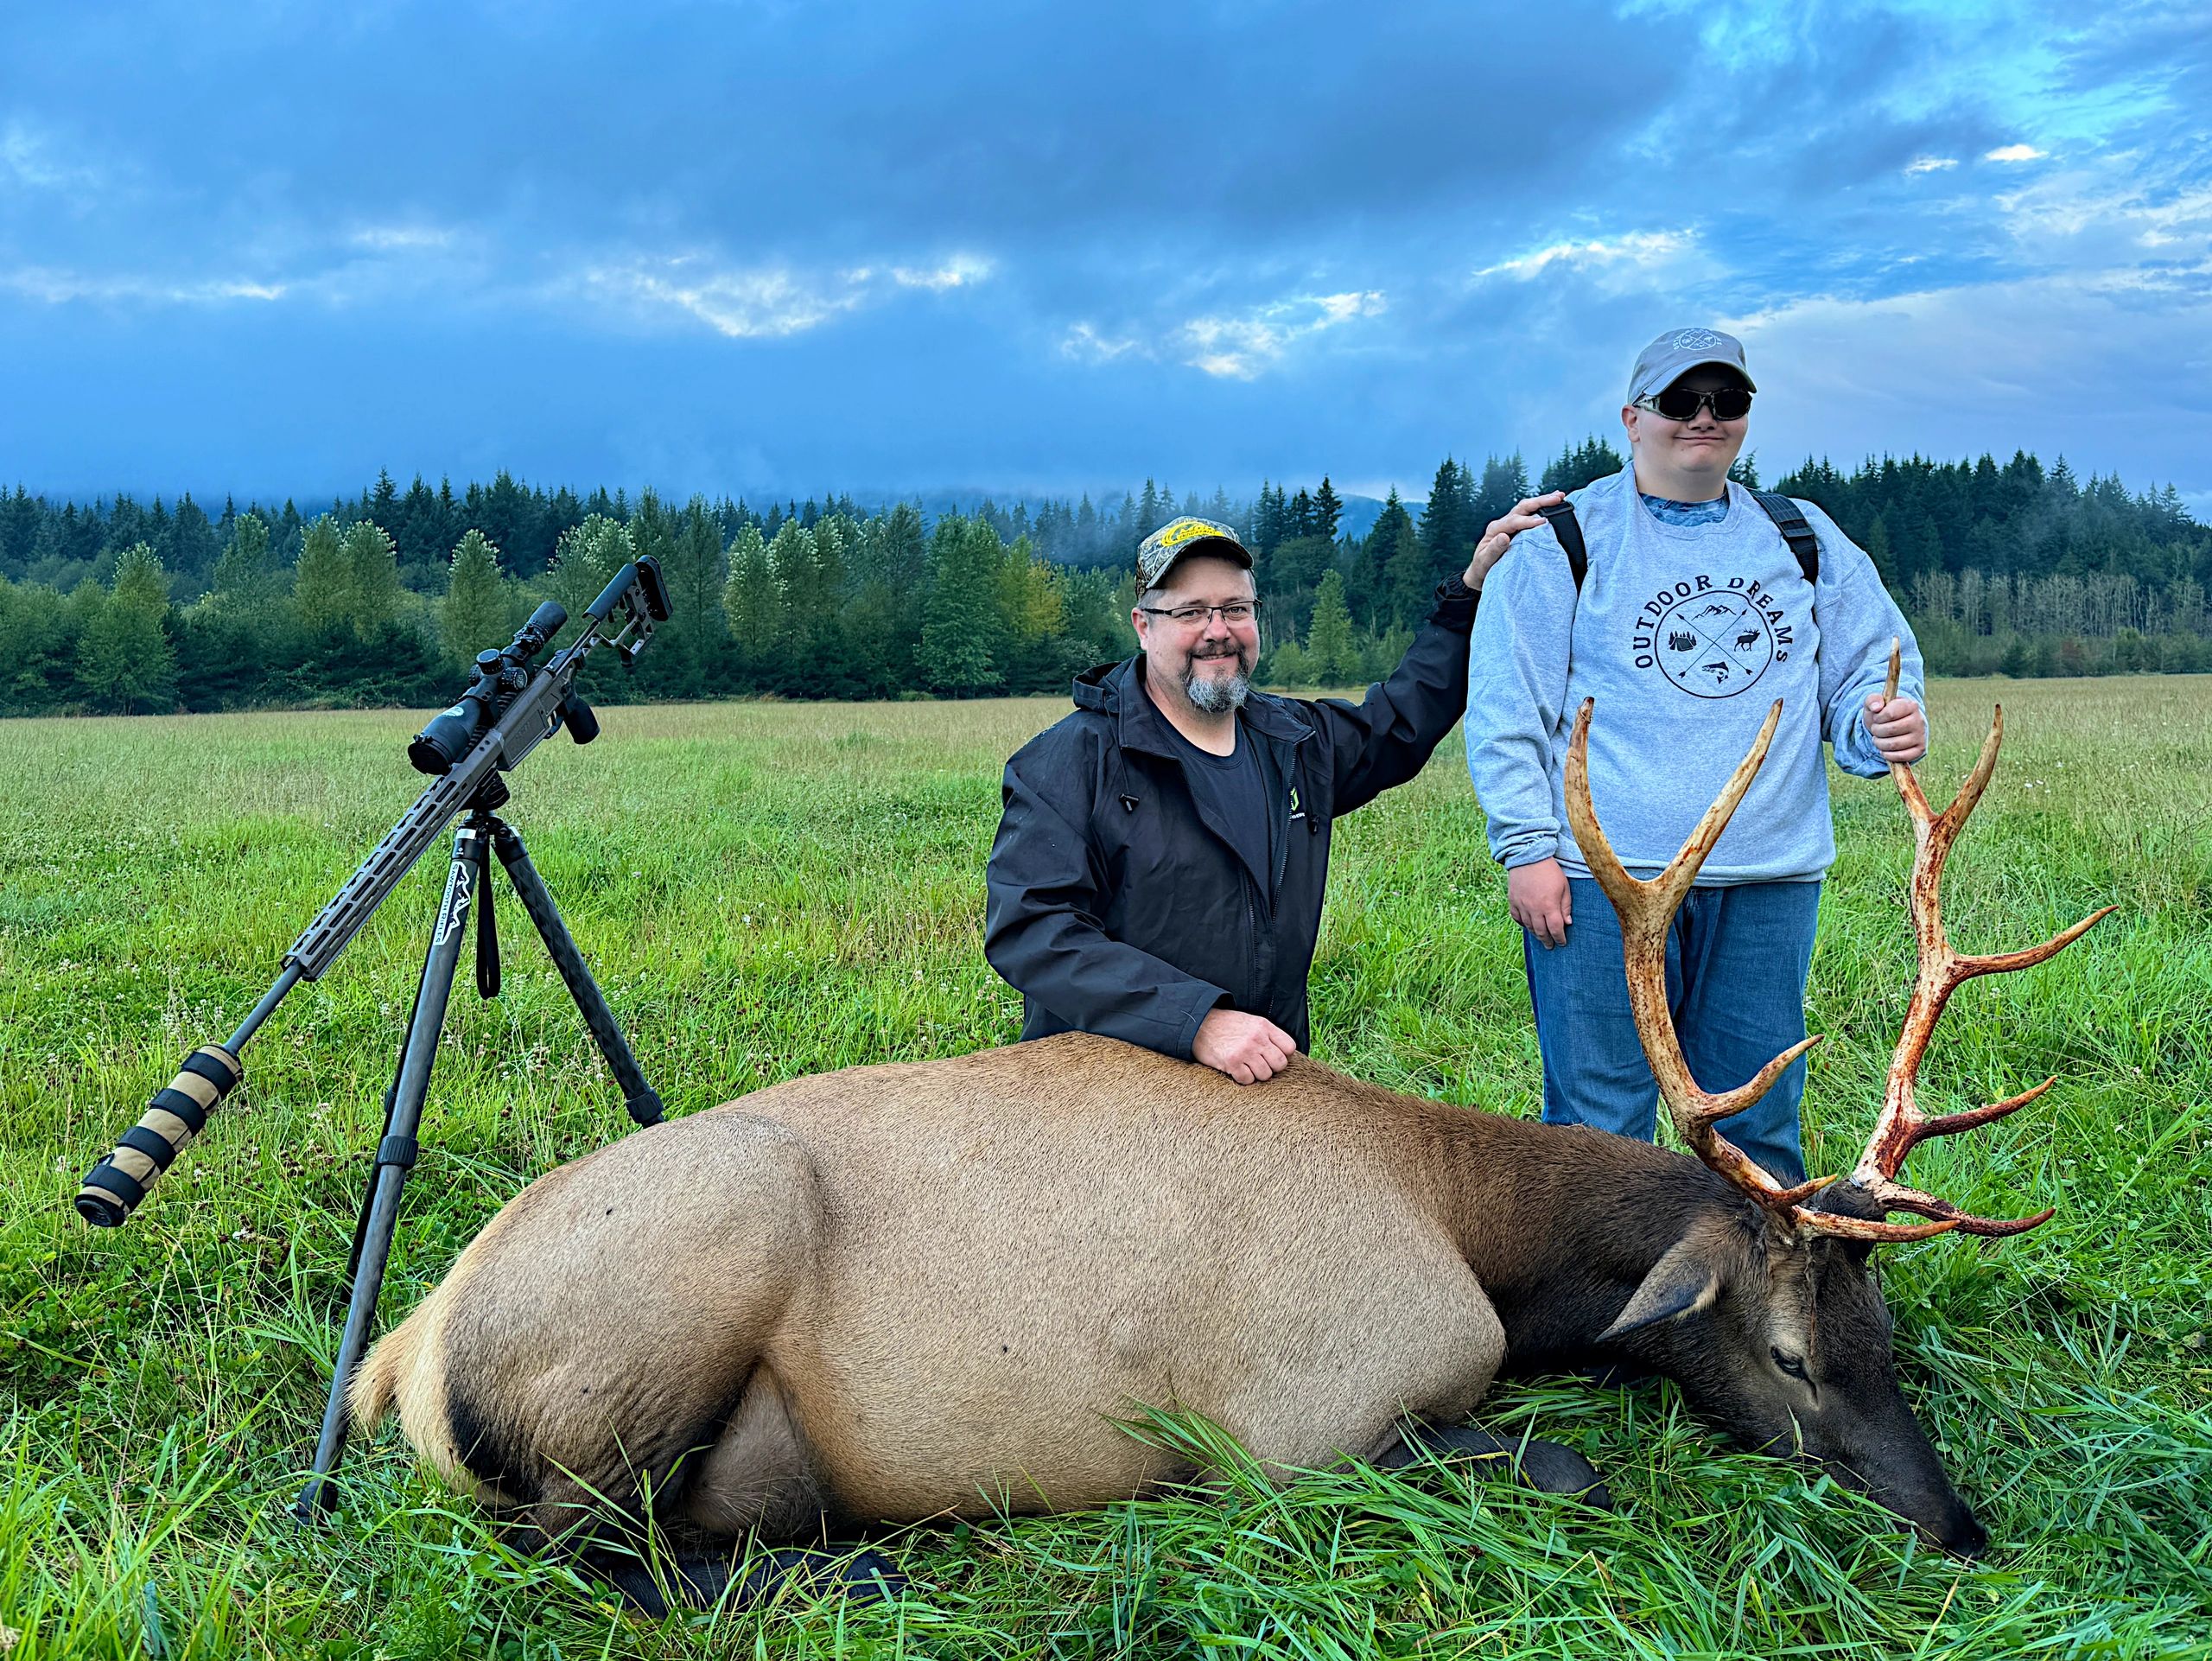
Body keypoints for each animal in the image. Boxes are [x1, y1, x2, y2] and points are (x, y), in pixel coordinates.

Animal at [349, 652, 2108, 1614]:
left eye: (1893, 1333)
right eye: (1794, 1355)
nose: (1961, 1525)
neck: (1466, 1222)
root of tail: (401, 1353)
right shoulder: (1299, 1423)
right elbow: (1570, 1464)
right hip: (673, 1300)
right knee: (568, 1547)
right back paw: (853, 1566)